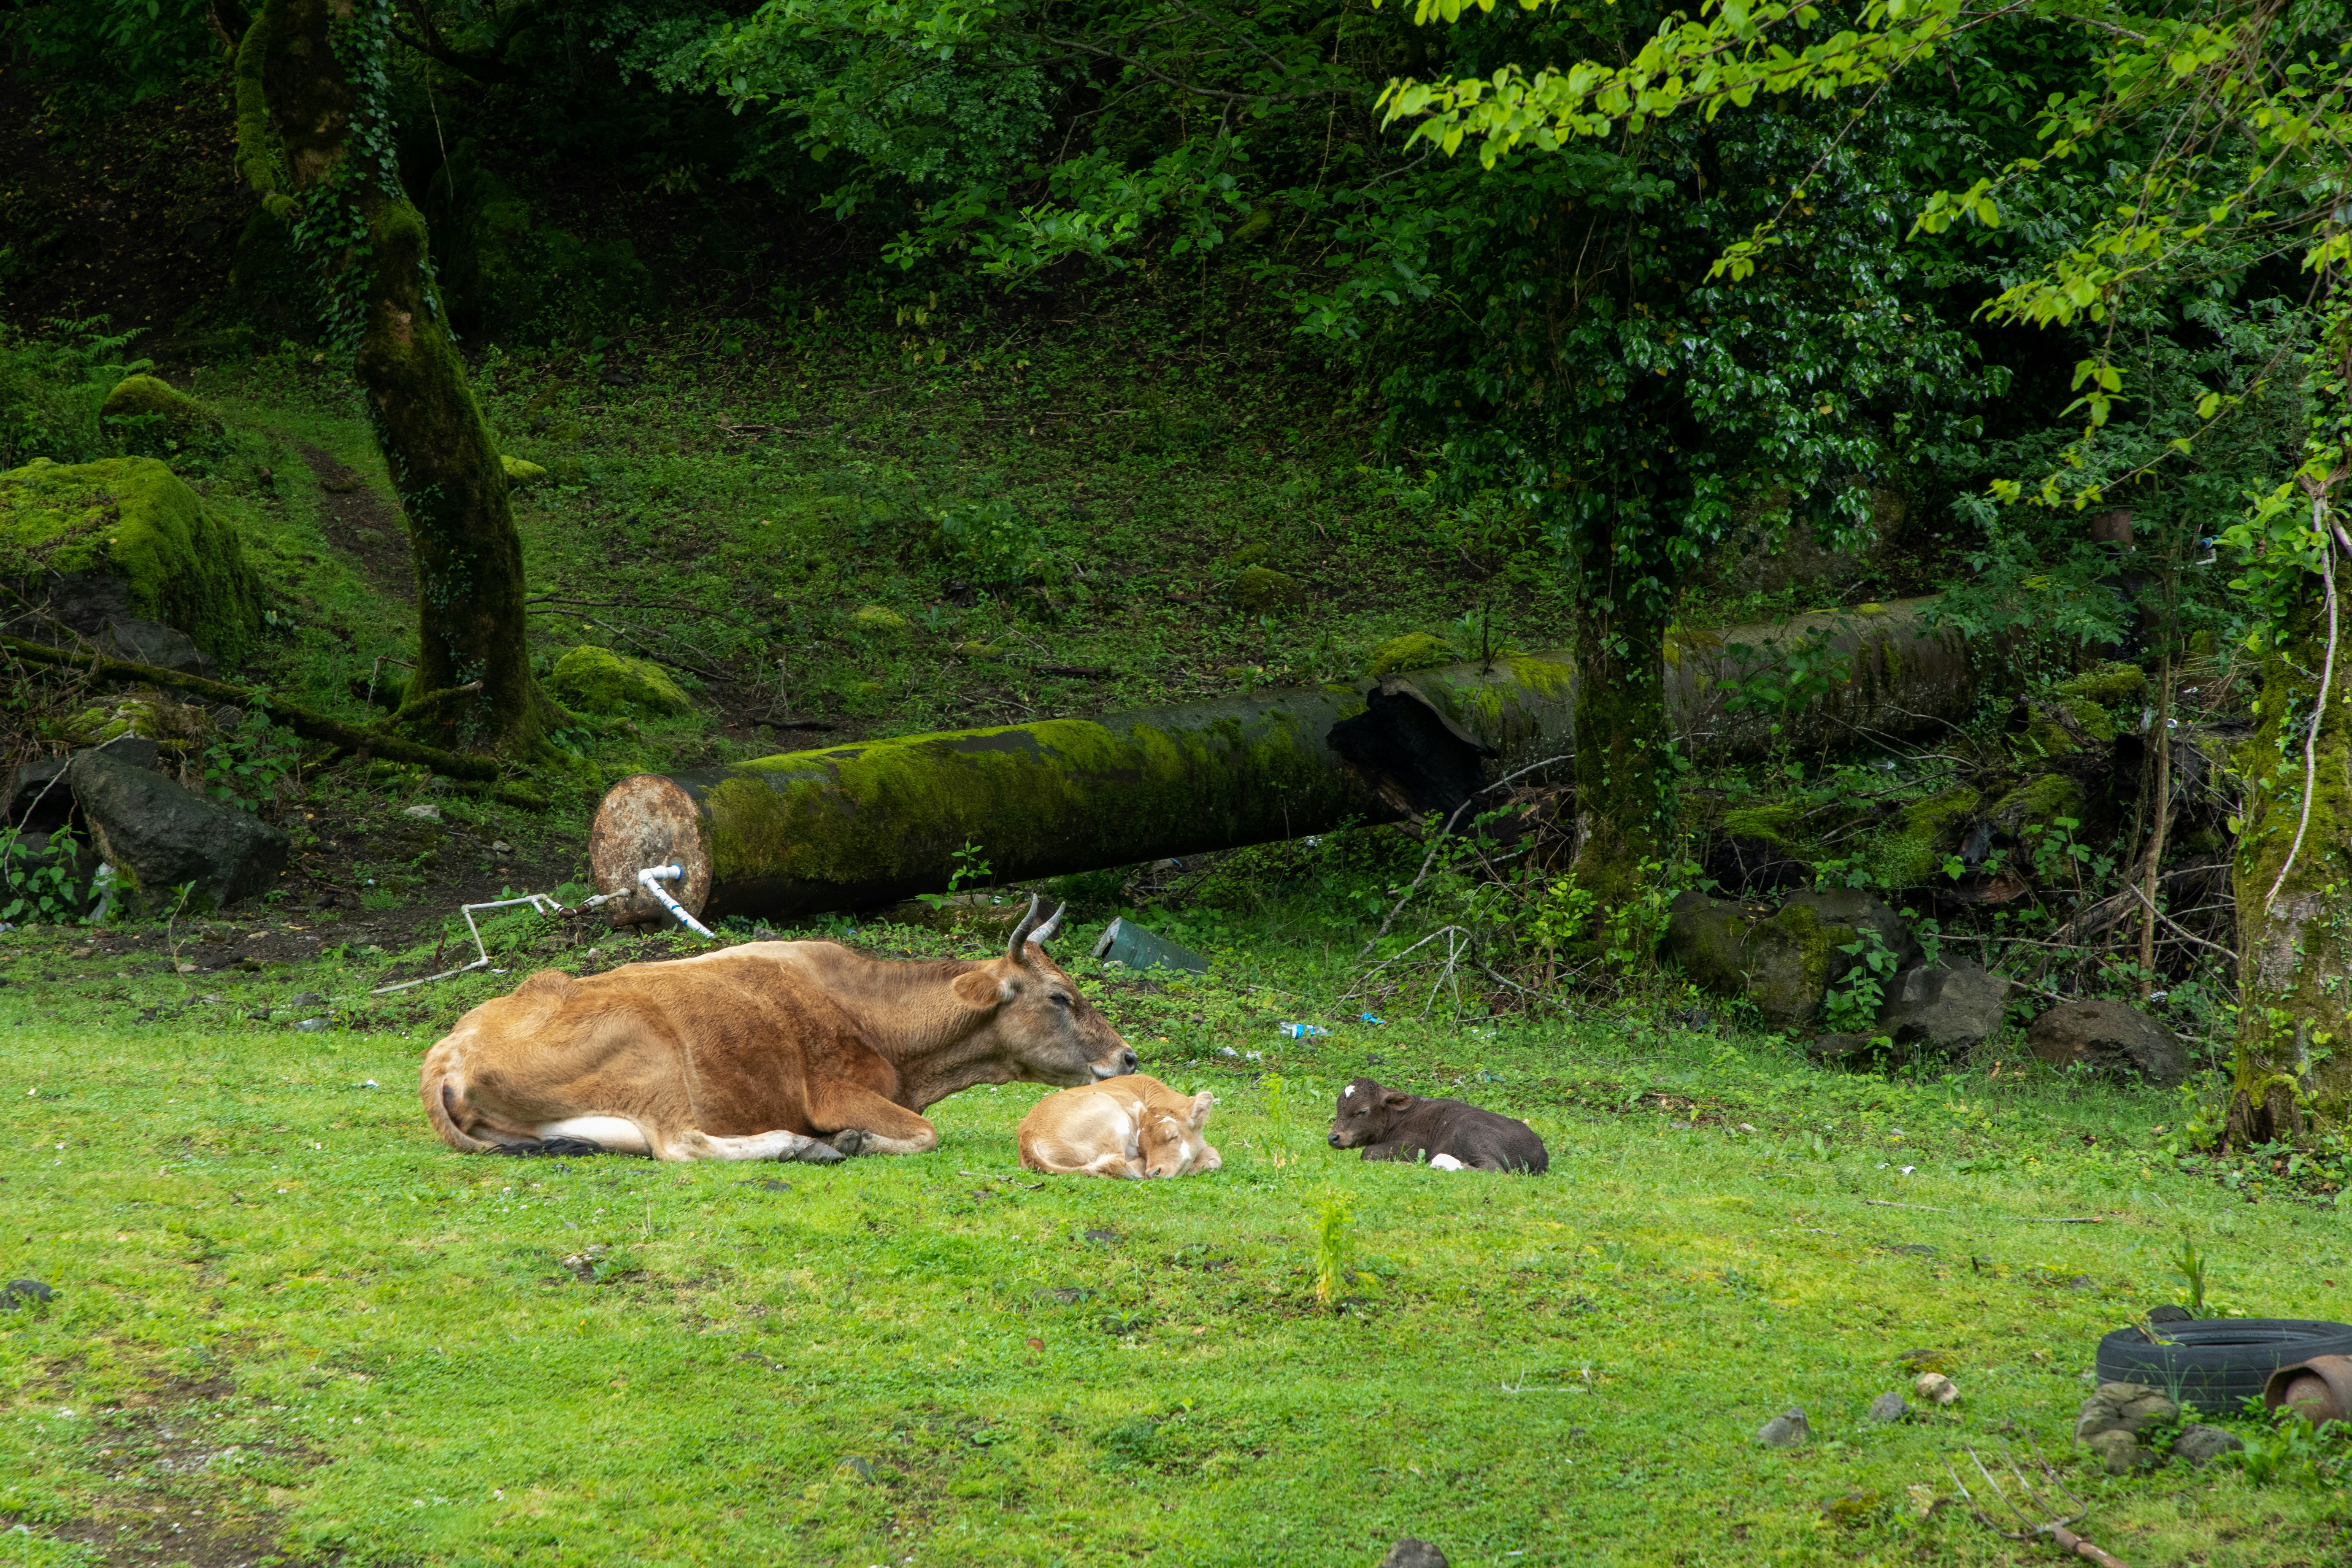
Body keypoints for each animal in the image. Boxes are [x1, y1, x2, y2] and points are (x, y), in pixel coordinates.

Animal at [419, 898, 1135, 1163]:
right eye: (1060, 996)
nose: (1127, 1058)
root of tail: (449, 1049)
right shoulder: (836, 1092)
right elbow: (923, 1134)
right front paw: (851, 1140)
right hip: (657, 1060)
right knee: (683, 1146)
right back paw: (801, 1146)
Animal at [1017, 1075, 1220, 1178]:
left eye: (1173, 1136)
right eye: (1143, 1149)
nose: (1153, 1172)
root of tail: (1028, 1135)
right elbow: (1215, 1156)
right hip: (1112, 1116)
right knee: (1115, 1163)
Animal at [1326, 1077, 1548, 1173]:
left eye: (1362, 1111)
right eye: (1338, 1109)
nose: (1333, 1137)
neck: (1399, 1118)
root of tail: (1540, 1147)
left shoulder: (1413, 1145)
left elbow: (1368, 1153)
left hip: (1470, 1130)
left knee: (1492, 1169)